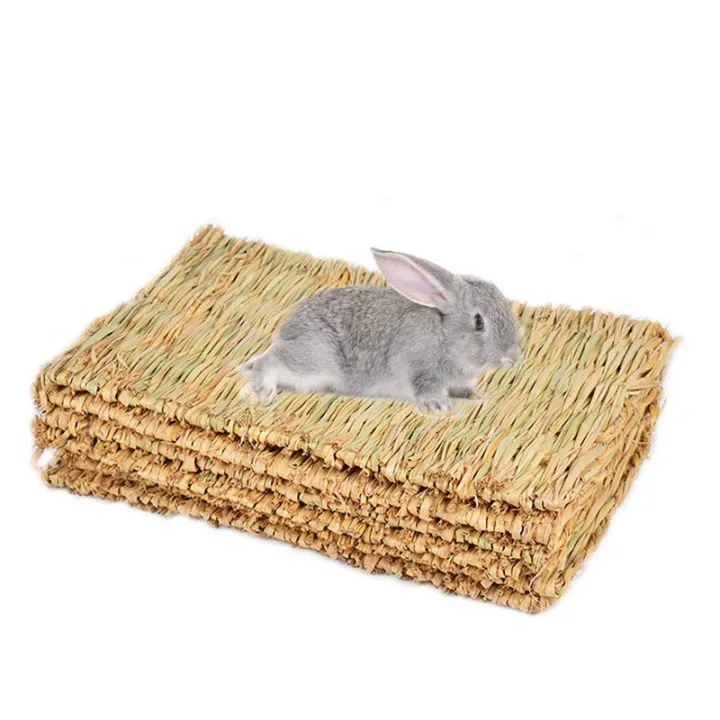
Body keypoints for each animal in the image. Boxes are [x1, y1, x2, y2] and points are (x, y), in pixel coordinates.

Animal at [241, 248, 522, 413]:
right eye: (479, 322)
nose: (513, 357)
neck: (446, 335)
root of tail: (288, 330)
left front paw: (474, 396)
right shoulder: (417, 364)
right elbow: (424, 386)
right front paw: (438, 405)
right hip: (315, 358)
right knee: (269, 361)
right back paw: (264, 389)